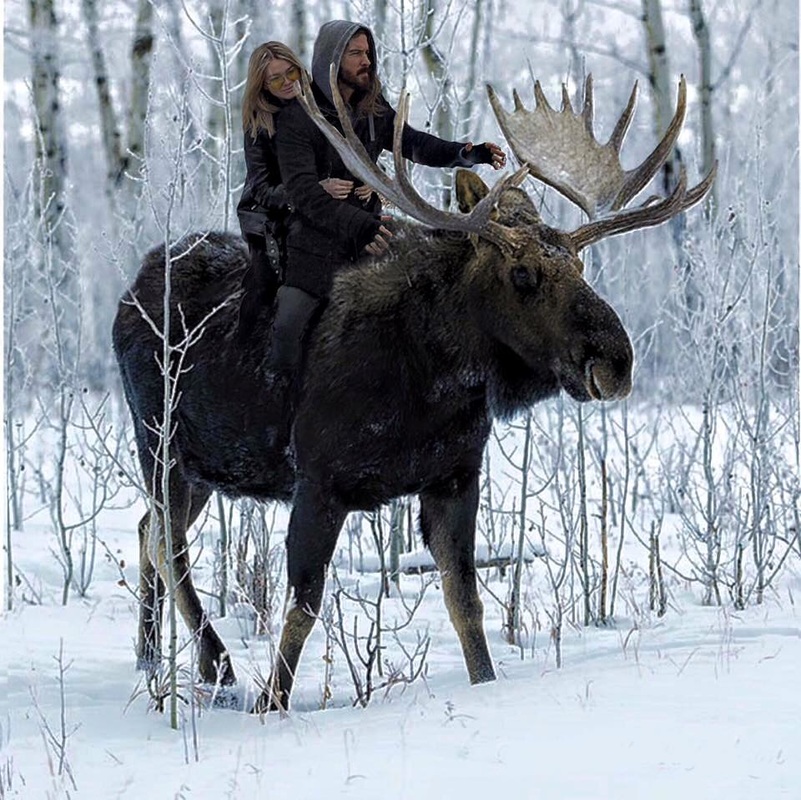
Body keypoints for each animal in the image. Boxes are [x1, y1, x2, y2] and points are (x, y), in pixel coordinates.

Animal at [112, 70, 715, 712]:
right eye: (523, 274)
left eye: (579, 265)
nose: (616, 360)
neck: (431, 385)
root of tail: (127, 292)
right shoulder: (319, 480)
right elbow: (303, 606)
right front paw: (271, 704)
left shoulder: (454, 476)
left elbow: (466, 601)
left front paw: (485, 682)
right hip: (160, 444)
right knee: (168, 543)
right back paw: (216, 665)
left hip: (207, 467)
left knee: (150, 531)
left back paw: (150, 655)